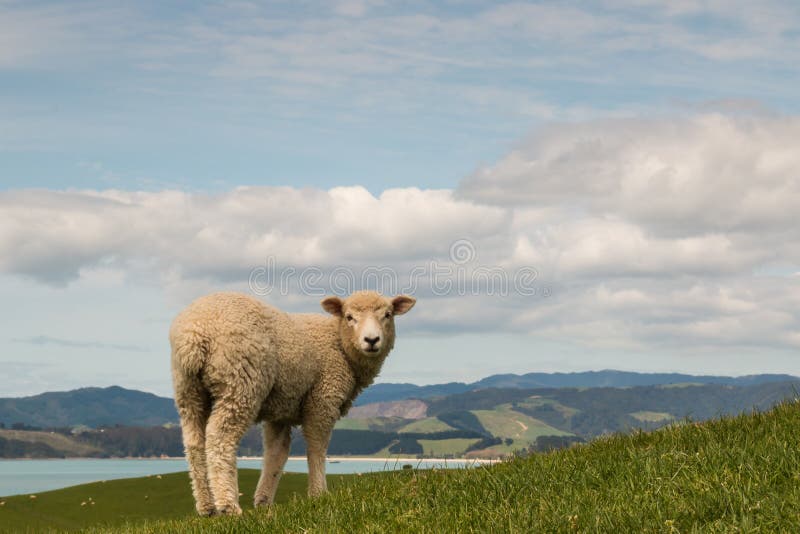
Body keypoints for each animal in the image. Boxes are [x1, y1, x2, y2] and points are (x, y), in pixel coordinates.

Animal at [170, 290, 416, 516]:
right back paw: (228, 506)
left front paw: (263, 502)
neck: (339, 344)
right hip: (240, 383)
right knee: (219, 438)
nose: (372, 340)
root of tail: (194, 335)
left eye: (387, 315)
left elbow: (276, 454)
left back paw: (206, 507)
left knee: (194, 444)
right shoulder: (323, 399)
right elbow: (317, 448)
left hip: (189, 392)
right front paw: (318, 495)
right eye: (349, 317)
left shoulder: (281, 412)